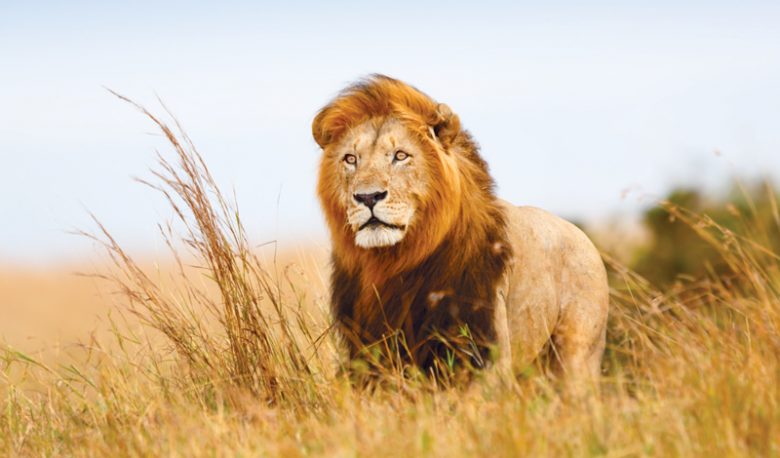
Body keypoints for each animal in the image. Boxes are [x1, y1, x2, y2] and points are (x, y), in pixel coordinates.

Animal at [312, 75, 609, 384]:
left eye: (400, 156)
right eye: (350, 159)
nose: (368, 197)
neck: (394, 262)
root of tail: (583, 237)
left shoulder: (485, 351)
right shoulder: (367, 351)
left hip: (576, 356)